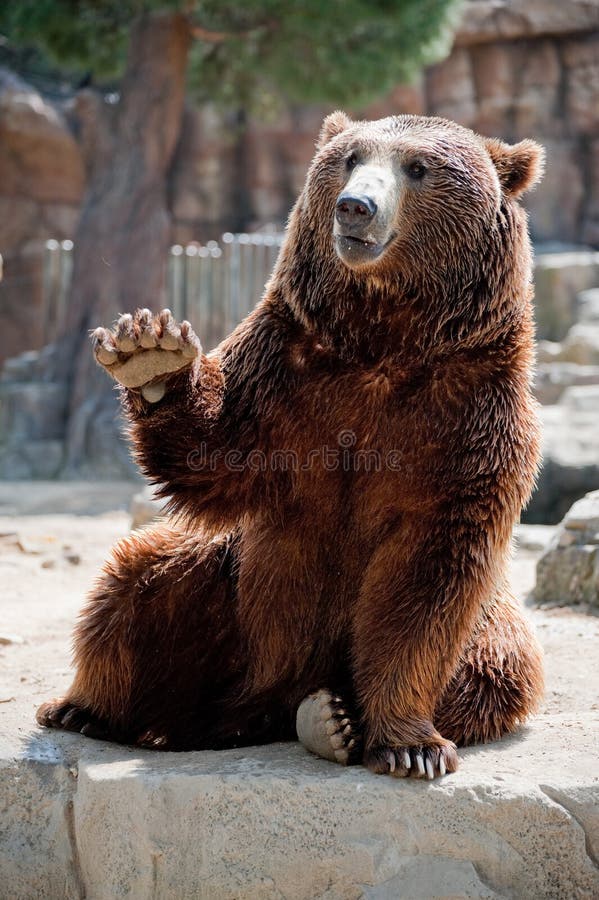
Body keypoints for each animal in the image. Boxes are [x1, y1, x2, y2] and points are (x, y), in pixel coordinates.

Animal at [37, 112, 545, 780]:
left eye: (418, 167)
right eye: (350, 157)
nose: (355, 207)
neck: (385, 341)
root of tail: (259, 700)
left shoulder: (468, 418)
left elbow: (427, 577)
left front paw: (410, 746)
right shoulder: (287, 372)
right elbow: (214, 455)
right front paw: (150, 352)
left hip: (495, 631)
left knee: (497, 672)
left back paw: (330, 719)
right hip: (227, 587)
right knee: (138, 583)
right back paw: (85, 708)